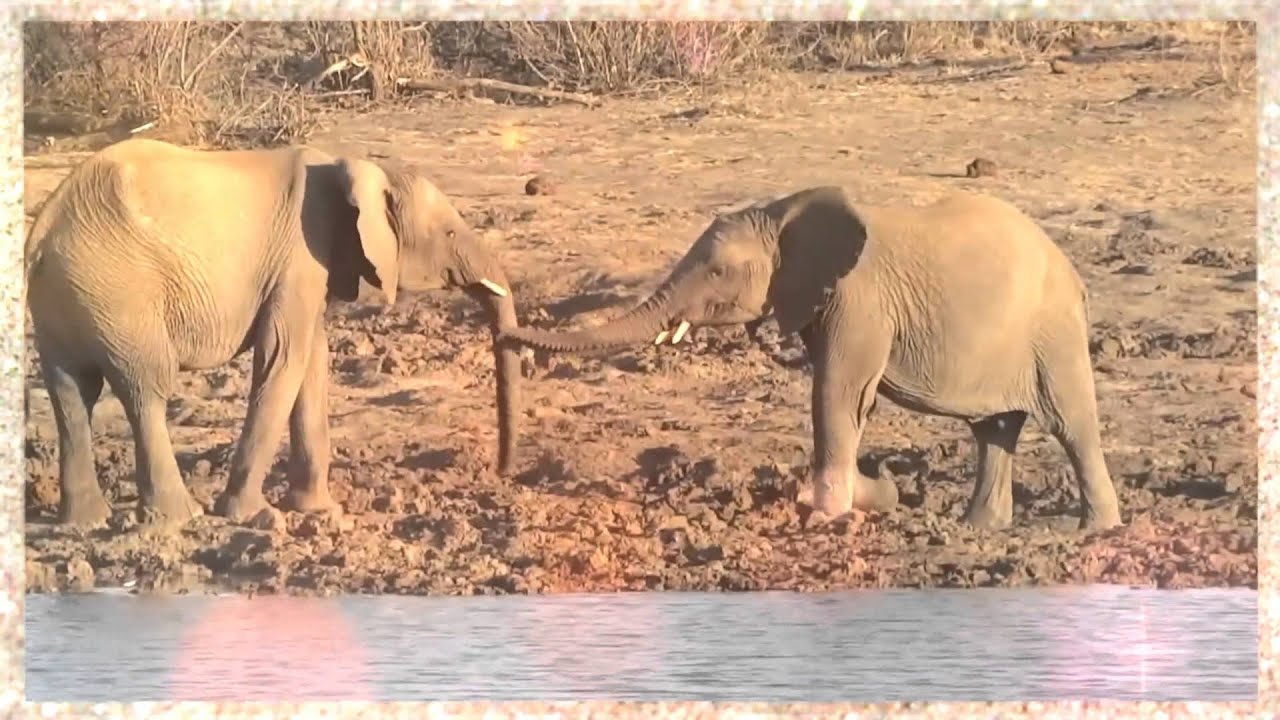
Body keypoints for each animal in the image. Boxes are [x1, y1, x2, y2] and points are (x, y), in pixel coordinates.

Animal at [25, 137, 521, 528]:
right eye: (451, 233)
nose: (502, 473)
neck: (356, 167)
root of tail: (42, 234)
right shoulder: (301, 252)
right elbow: (283, 356)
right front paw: (250, 514)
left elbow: (312, 361)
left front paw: (317, 512)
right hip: (121, 293)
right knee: (145, 389)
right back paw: (179, 518)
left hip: (72, 300)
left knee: (71, 394)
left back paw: (85, 522)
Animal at [499, 186, 1123, 531]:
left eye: (718, 271)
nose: (505, 337)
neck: (781, 213)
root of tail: (1072, 271)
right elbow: (849, 404)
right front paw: (873, 494)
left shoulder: (860, 302)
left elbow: (836, 395)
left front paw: (825, 515)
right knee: (994, 430)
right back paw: (977, 529)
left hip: (1053, 331)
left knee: (1071, 423)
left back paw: (1097, 532)